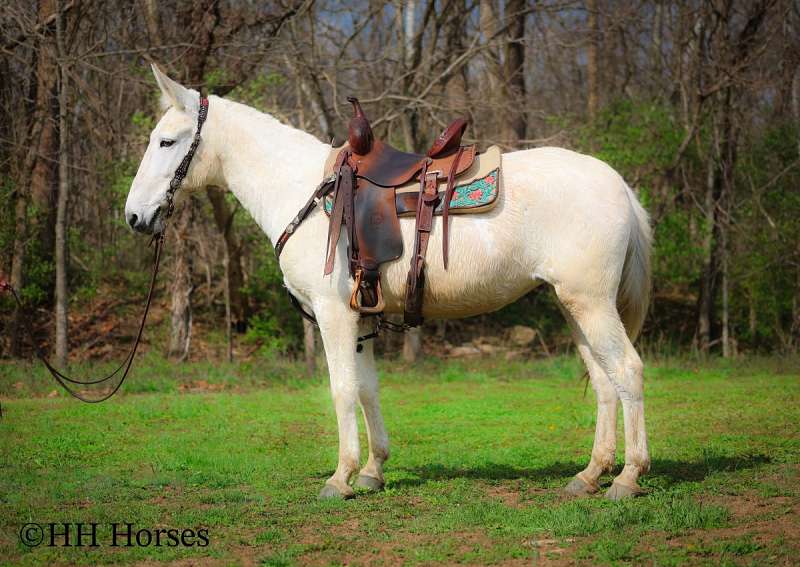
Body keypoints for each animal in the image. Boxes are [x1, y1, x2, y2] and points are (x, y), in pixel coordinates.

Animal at [125, 64, 652, 501]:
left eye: (167, 142)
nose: (134, 217)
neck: (303, 190)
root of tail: (620, 185)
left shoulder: (333, 314)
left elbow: (341, 389)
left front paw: (340, 477)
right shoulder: (361, 317)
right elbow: (367, 390)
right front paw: (372, 471)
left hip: (591, 304)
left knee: (627, 371)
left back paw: (627, 477)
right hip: (573, 305)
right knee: (604, 381)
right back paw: (589, 475)